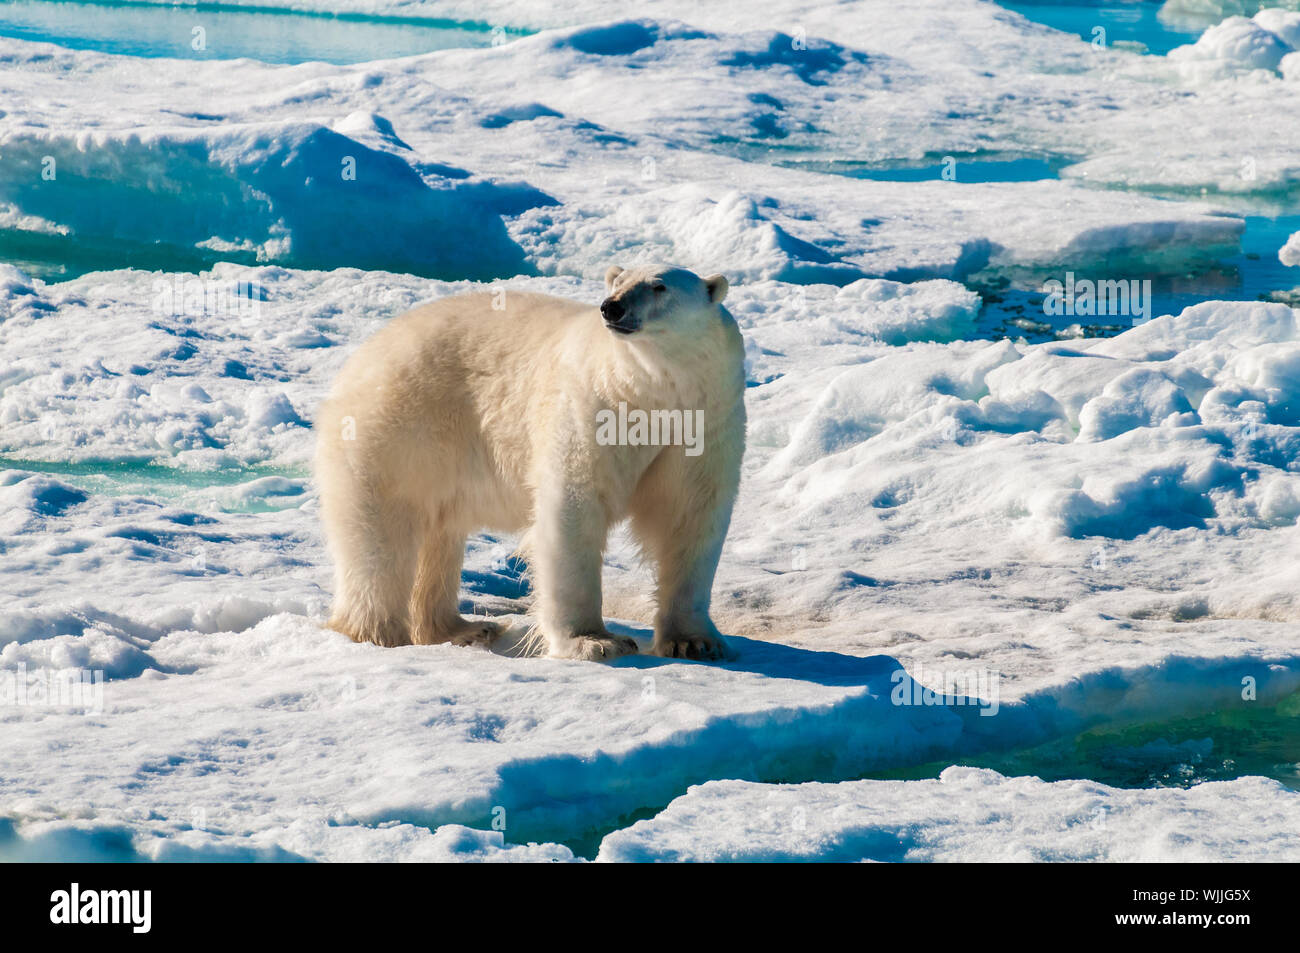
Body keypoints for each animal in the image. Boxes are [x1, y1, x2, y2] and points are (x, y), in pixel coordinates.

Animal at [314, 264, 746, 661]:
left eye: (659, 286)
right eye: (619, 282)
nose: (612, 307)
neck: (650, 392)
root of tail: (361, 356)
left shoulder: (702, 421)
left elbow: (689, 517)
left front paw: (695, 641)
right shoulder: (594, 409)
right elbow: (573, 509)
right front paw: (594, 641)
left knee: (439, 536)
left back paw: (464, 628)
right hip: (400, 429)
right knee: (381, 537)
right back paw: (380, 634)